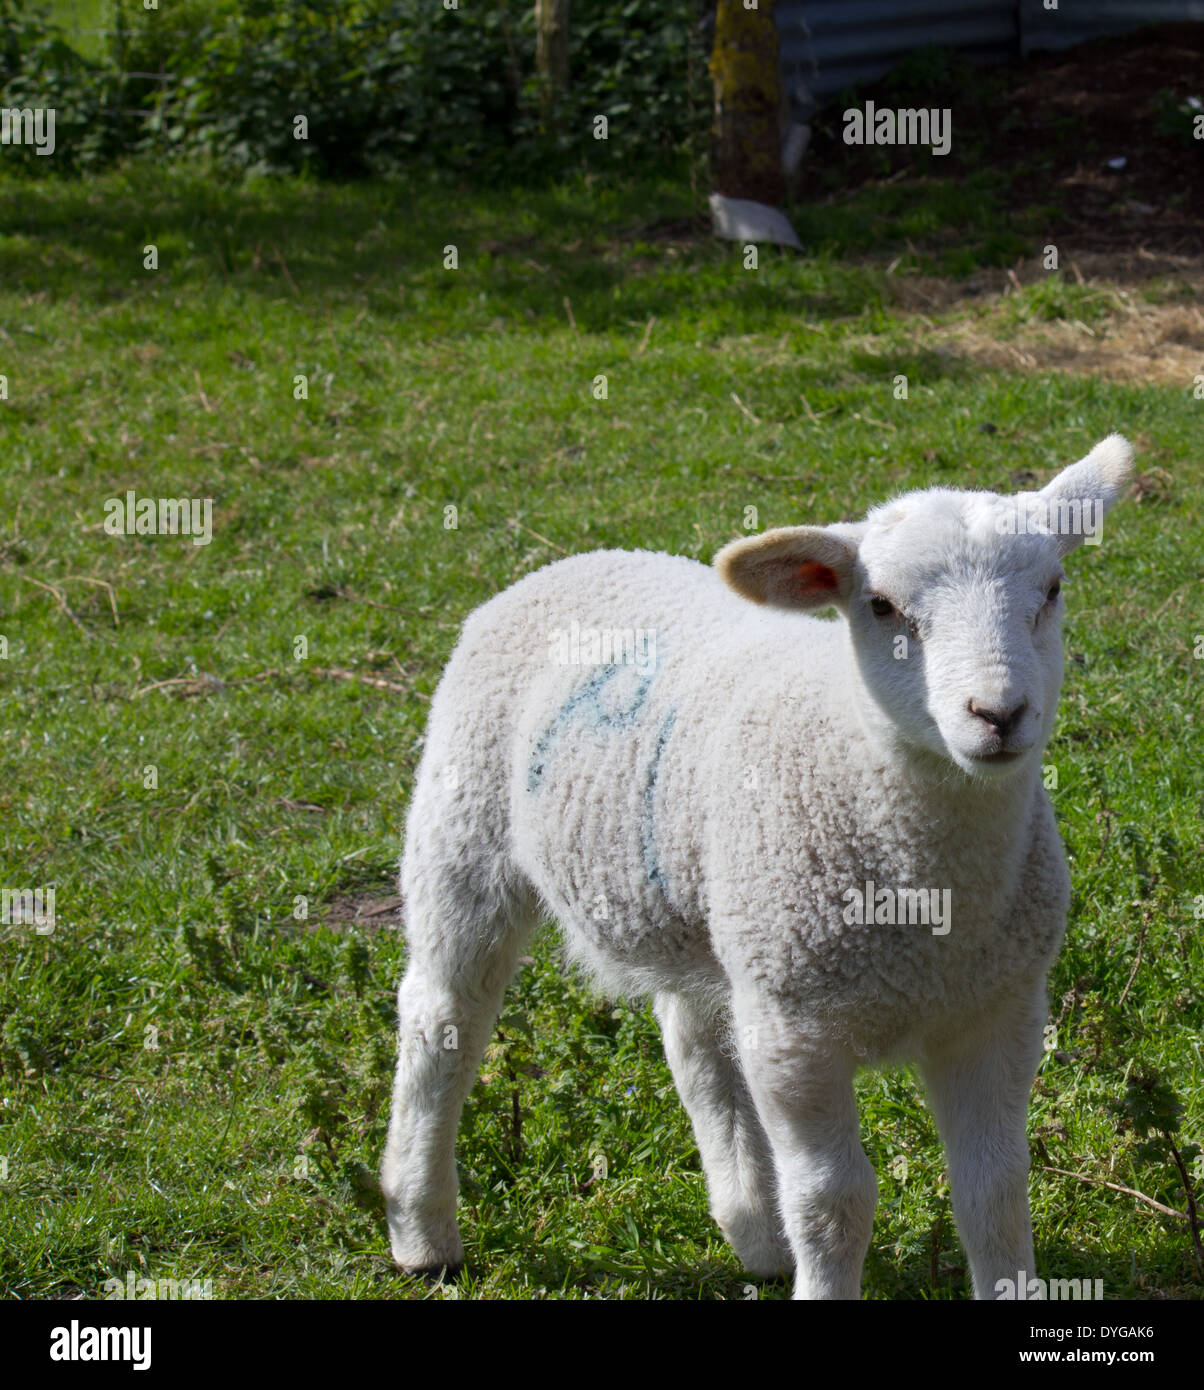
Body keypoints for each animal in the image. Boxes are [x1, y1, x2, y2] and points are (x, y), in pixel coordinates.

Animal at [380, 434, 1133, 1299]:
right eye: (882, 606)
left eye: (1052, 589)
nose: (999, 714)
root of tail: (578, 558)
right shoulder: (792, 1030)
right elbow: (836, 1201)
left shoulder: (999, 1009)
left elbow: (996, 1187)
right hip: (463, 827)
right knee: (442, 1020)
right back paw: (422, 1230)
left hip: (702, 905)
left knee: (695, 1040)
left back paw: (756, 1232)